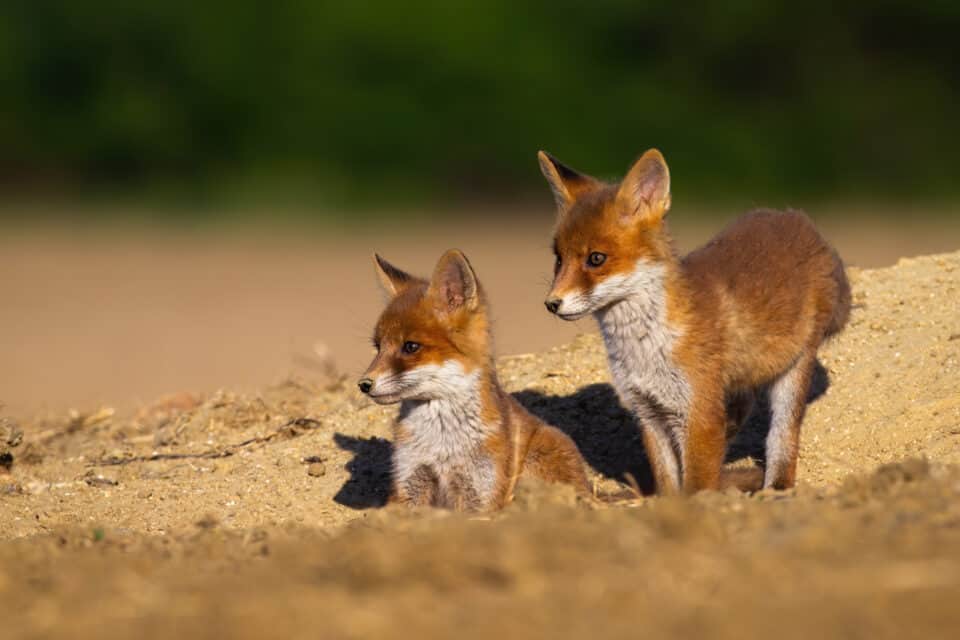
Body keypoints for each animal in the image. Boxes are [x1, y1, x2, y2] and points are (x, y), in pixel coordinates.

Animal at [357, 249, 590, 511]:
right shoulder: (409, 483)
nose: (364, 384)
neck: (442, 444)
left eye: (410, 347)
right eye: (378, 347)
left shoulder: (480, 493)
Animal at [538, 148, 851, 494]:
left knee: (782, 438)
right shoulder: (649, 412)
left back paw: (777, 488)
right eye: (558, 259)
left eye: (596, 259)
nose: (552, 303)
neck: (644, 349)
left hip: (793, 374)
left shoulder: (698, 413)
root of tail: (800, 221)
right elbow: (668, 481)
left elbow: (696, 485)